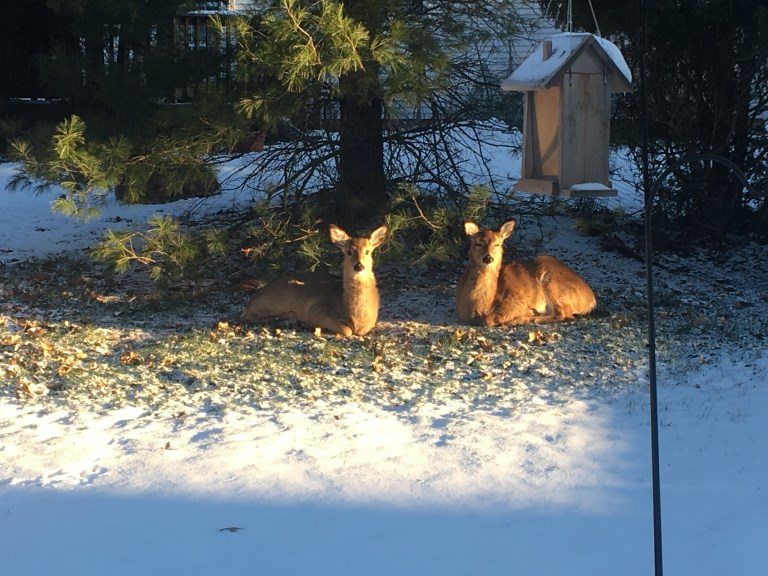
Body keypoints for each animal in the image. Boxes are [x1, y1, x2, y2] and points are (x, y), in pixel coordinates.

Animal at [241, 224, 388, 337]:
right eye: (348, 252)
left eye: (367, 251)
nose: (359, 266)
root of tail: (251, 301)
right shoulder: (316, 309)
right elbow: (347, 330)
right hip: (285, 296)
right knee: (251, 316)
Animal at [455, 219, 596, 326]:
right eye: (478, 243)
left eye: (497, 244)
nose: (488, 258)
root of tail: (591, 299)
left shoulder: (517, 300)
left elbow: (490, 319)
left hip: (556, 287)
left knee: (564, 315)